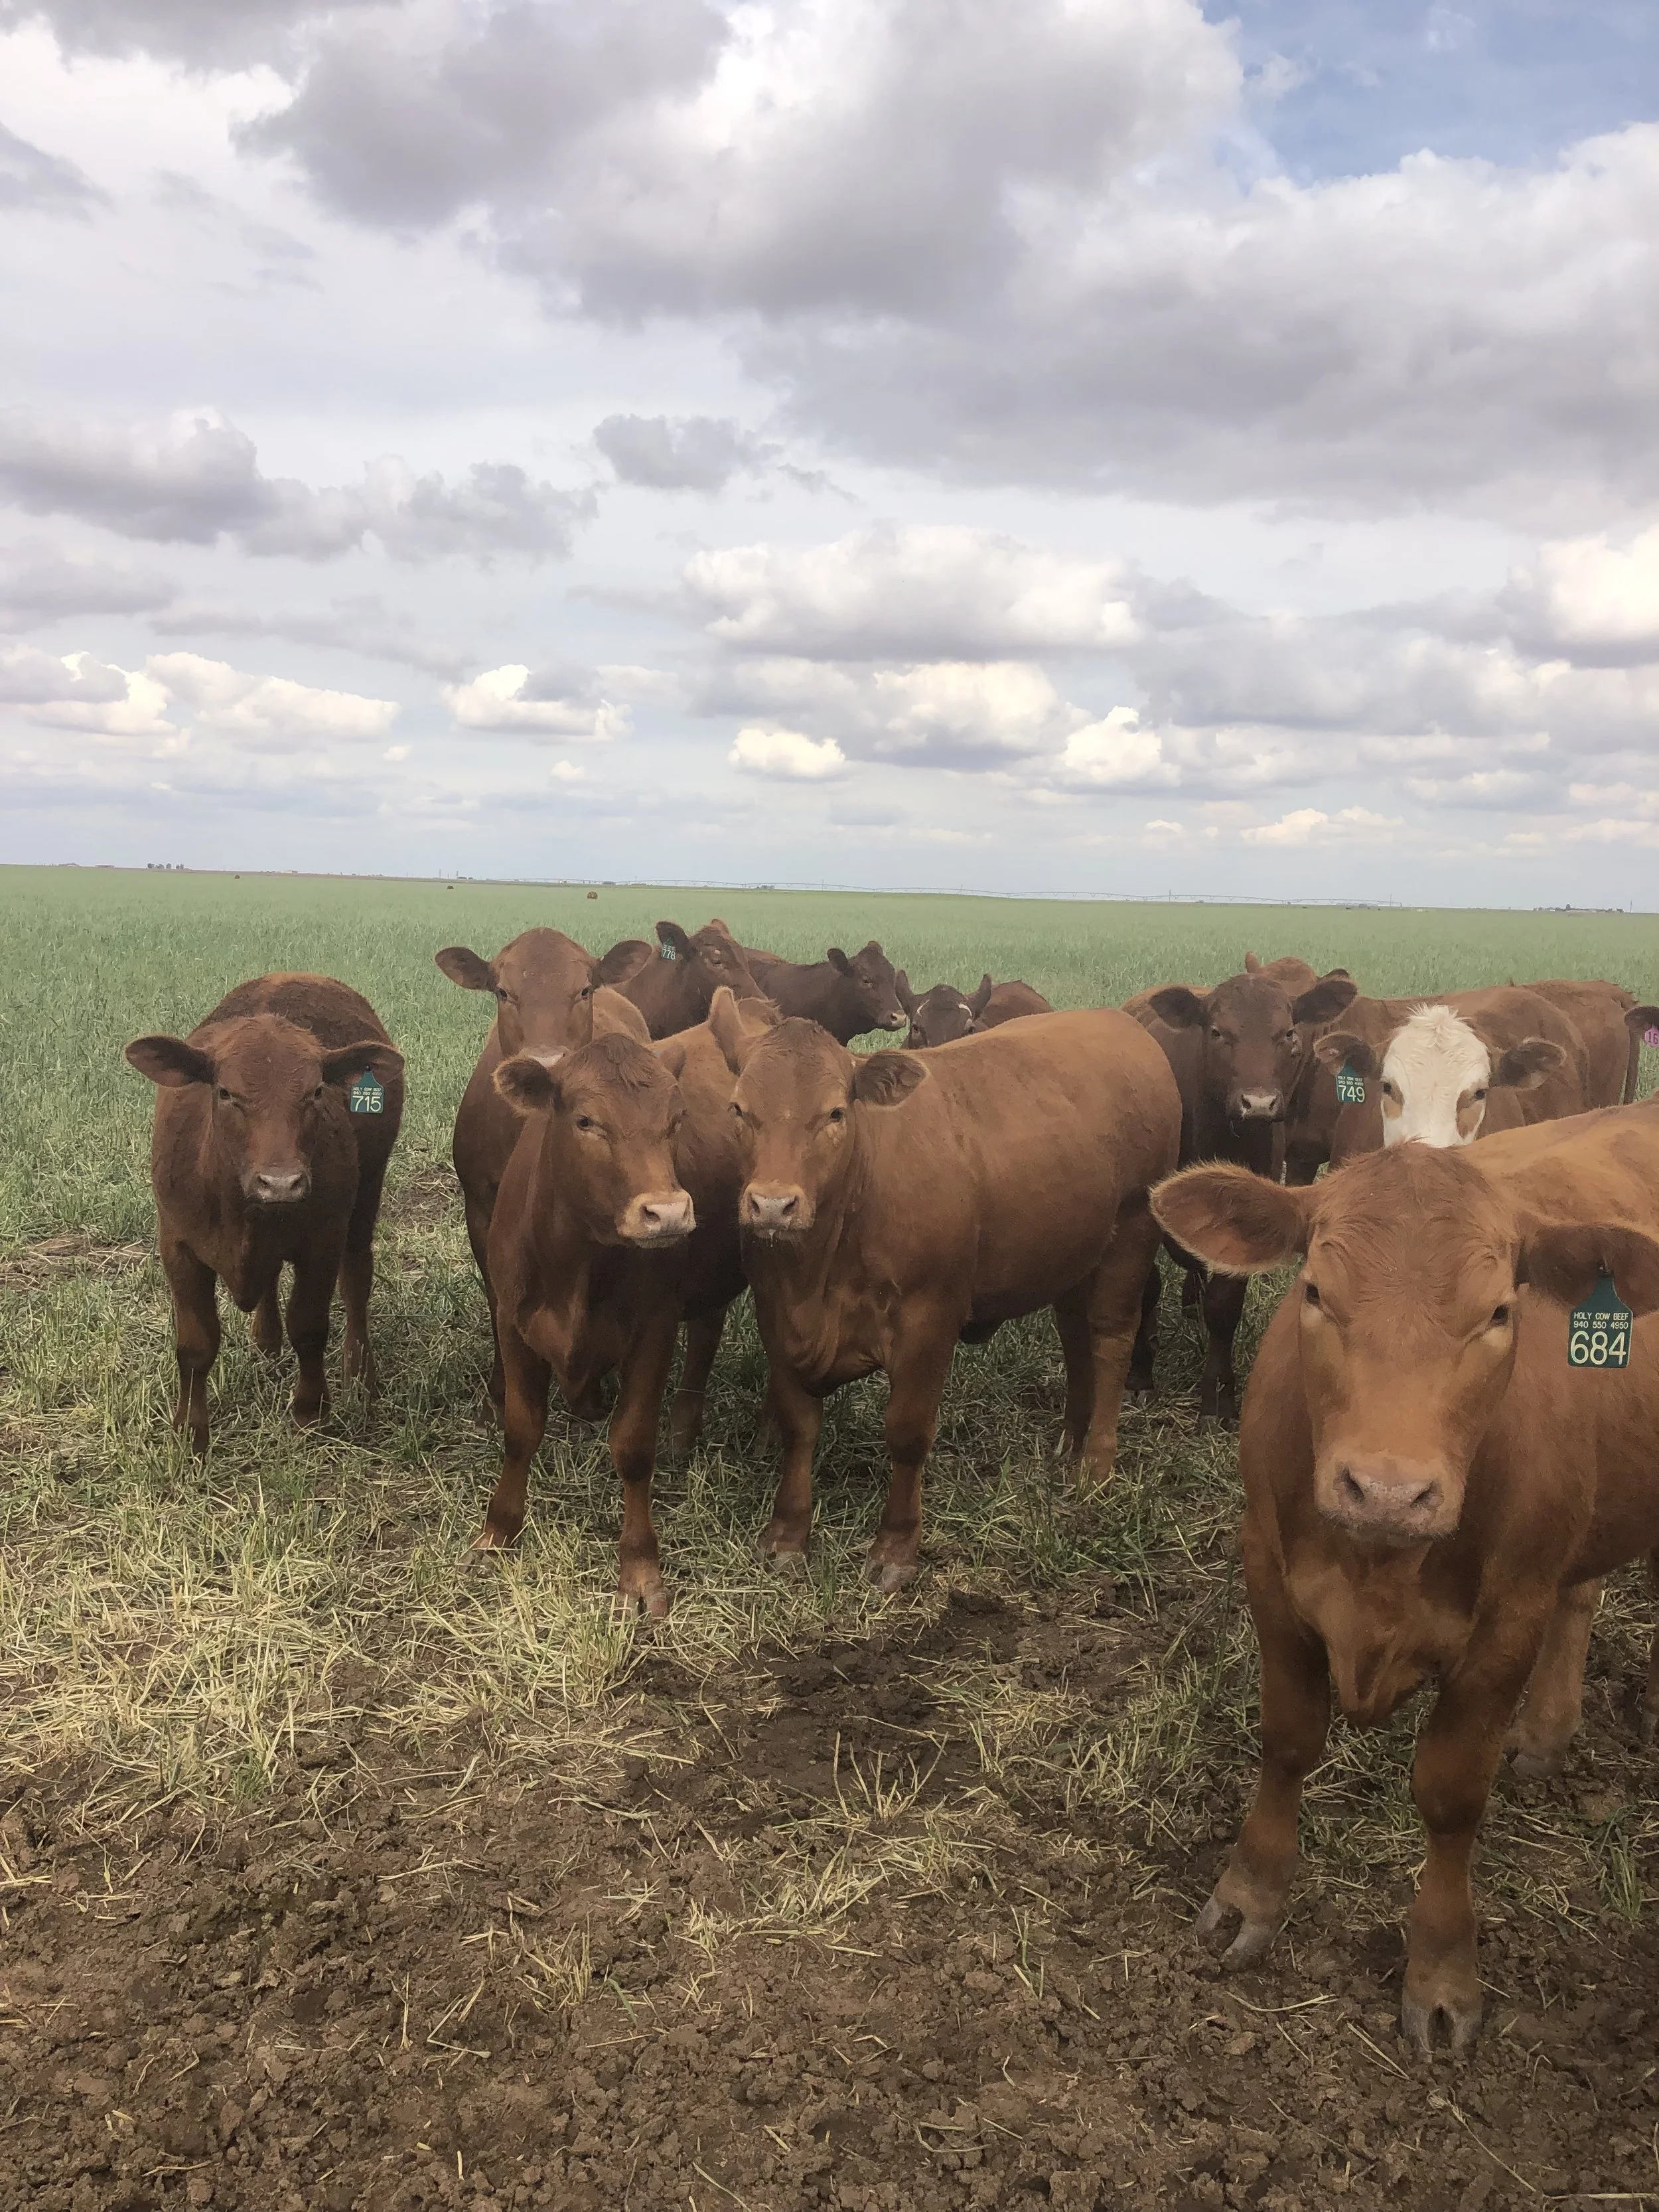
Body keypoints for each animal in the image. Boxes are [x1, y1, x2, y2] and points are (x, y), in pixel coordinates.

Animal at [124, 974, 404, 1452]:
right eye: (225, 1092)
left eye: (316, 1092)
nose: (281, 1183)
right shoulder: (178, 1246)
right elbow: (195, 1345)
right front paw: (191, 1432)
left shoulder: (323, 1242)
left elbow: (309, 1326)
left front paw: (310, 1409)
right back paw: (267, 1338)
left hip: (366, 1194)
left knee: (356, 1282)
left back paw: (359, 1372)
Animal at [438, 928, 655, 1410]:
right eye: (503, 992)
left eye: (584, 989)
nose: (547, 1062)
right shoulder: (480, 1209)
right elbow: (496, 1297)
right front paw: (500, 1389)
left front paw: (589, 1398)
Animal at [714, 1010, 1181, 1592]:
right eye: (738, 1108)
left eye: (836, 1112)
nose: (773, 1204)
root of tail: (1121, 1020)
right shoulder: (776, 1317)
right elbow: (798, 1428)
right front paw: (786, 1535)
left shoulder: (927, 1321)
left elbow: (908, 1432)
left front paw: (895, 1547)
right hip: (1073, 1252)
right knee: (1076, 1337)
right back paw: (1069, 1444)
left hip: (1134, 1229)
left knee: (1112, 1338)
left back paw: (1096, 1464)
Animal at [1126, 963, 1357, 1422]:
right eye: (1217, 1032)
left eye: (1288, 1033)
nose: (1259, 1104)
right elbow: (1147, 1286)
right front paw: (1140, 1373)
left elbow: (1224, 1305)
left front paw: (1219, 1395)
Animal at [1150, 1118, 1659, 2053]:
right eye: (1314, 1292)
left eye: (1499, 1313)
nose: (1386, 1490)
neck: (1378, 1566)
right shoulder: (1268, 1573)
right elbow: (1287, 1740)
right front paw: (1249, 1896)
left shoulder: (1505, 1625)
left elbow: (1451, 1796)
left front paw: (1442, 1976)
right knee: (1581, 1592)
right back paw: (1547, 1732)